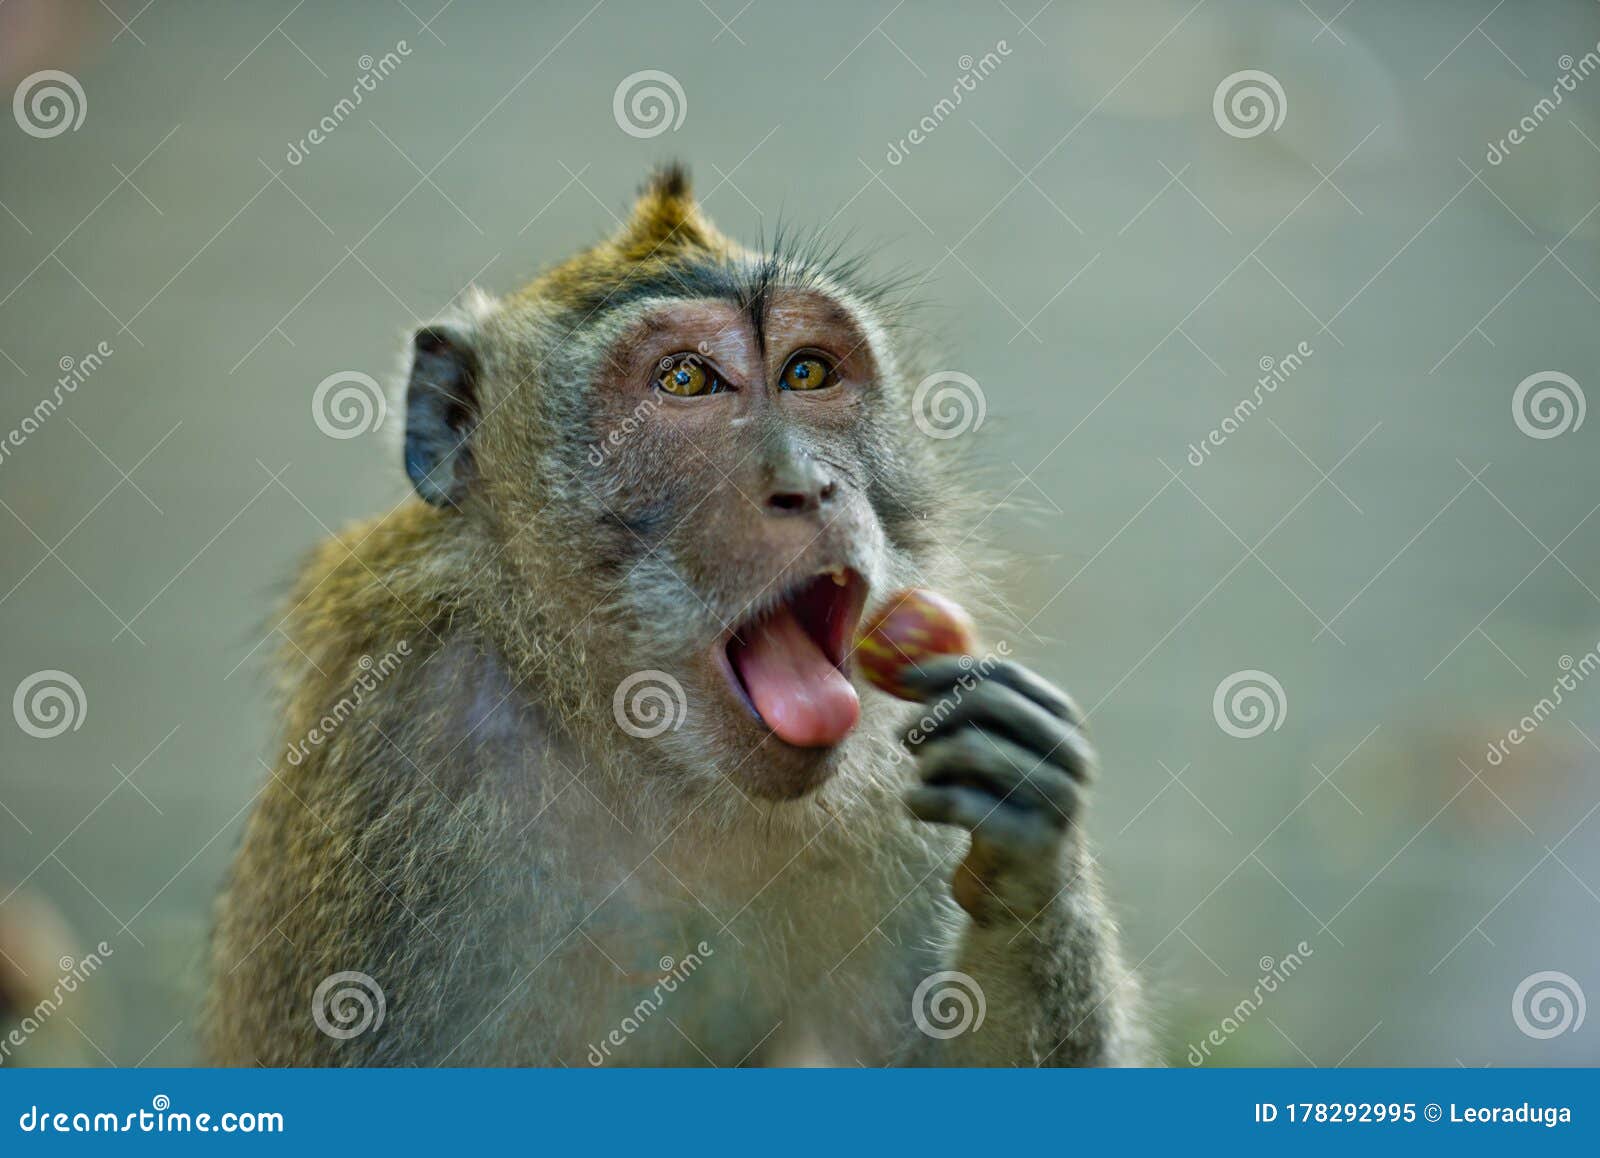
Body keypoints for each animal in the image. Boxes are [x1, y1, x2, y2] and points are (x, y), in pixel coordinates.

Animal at [203, 165, 1148, 1067]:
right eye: (686, 379)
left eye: (808, 371)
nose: (809, 486)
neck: (628, 753)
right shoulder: (406, 753)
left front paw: (1028, 837)